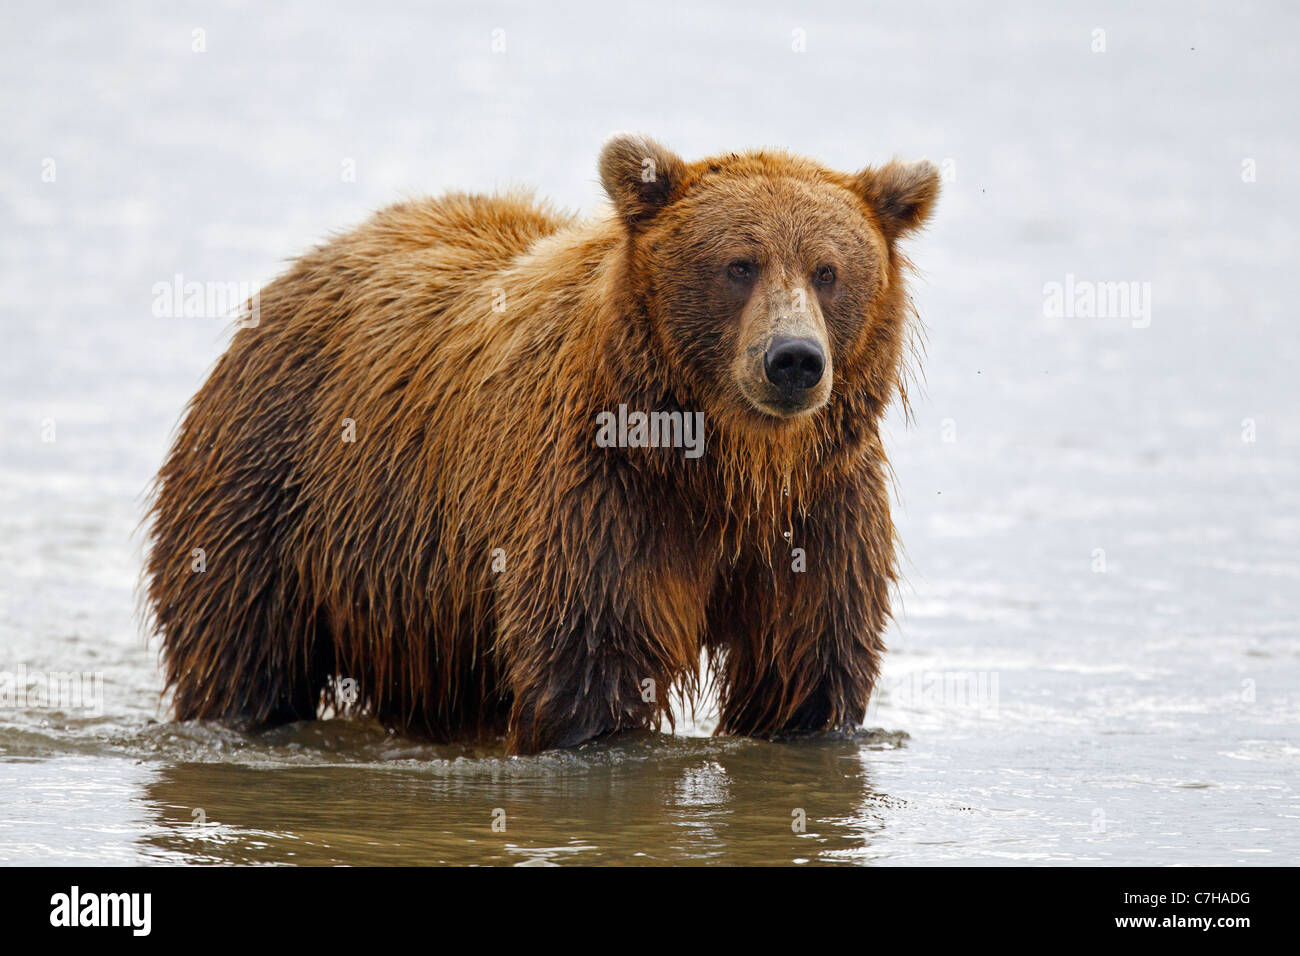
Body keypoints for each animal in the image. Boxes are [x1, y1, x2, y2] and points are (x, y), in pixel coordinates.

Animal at [144, 134, 939, 755]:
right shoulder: (603, 492)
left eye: (828, 270)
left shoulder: (821, 512)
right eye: (739, 264)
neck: (726, 469)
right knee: (242, 650)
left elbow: (806, 671)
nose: (793, 358)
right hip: (270, 491)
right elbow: (594, 666)